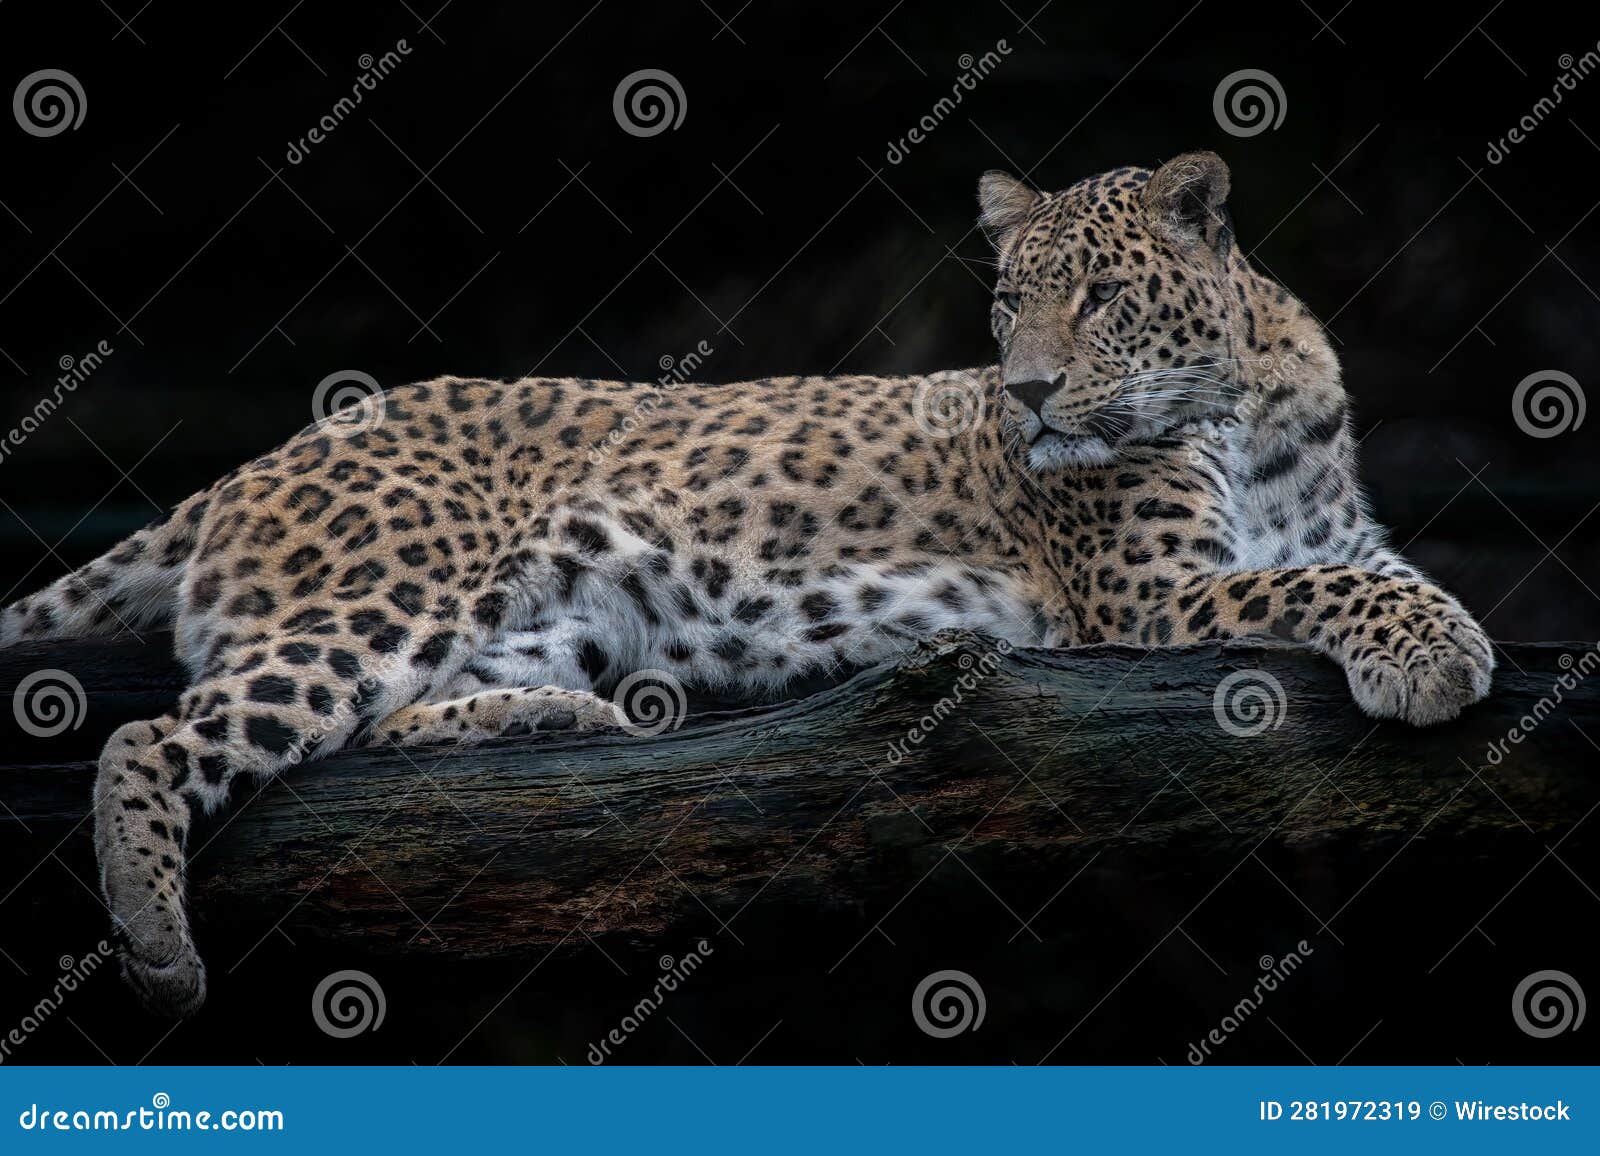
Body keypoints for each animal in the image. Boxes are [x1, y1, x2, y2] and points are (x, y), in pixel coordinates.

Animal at [0, 150, 1492, 1018]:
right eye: (1012, 300)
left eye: (1105, 298)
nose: (1027, 392)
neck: (1253, 400)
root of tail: (254, 461)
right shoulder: (1149, 595)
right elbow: (1324, 587)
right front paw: (1437, 656)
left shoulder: (1318, 532)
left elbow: (1358, 567)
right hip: (380, 598)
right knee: (161, 733)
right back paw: (155, 947)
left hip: (529, 626)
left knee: (366, 725)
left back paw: (550, 722)